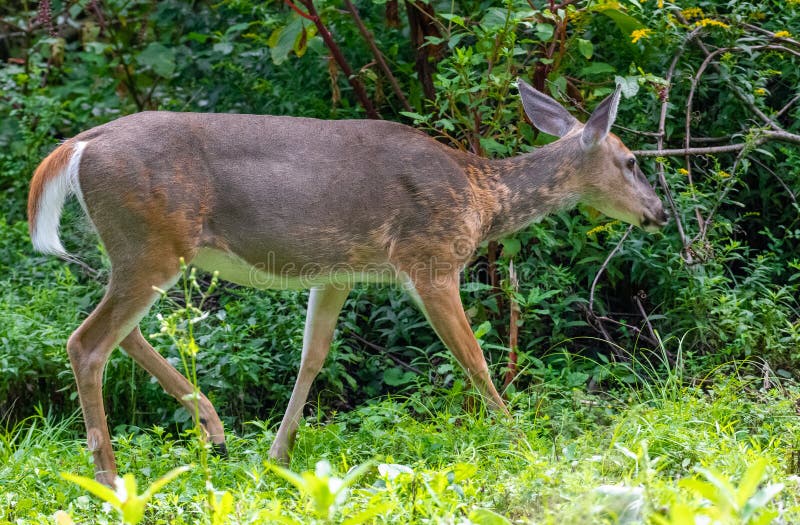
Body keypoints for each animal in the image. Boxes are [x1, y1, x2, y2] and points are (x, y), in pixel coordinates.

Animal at [28, 79, 667, 485]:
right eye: (632, 160)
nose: (660, 213)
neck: (482, 197)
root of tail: (78, 146)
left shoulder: (337, 271)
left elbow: (313, 356)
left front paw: (278, 457)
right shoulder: (430, 257)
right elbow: (475, 358)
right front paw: (521, 442)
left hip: (144, 252)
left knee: (115, 332)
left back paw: (214, 429)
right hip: (150, 244)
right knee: (86, 342)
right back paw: (111, 480)